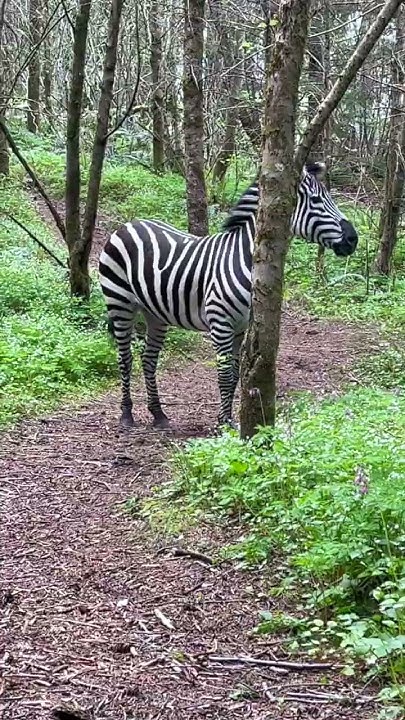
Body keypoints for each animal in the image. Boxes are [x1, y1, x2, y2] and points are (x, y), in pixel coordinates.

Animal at [99, 162, 358, 429]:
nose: (353, 239)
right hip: (119, 303)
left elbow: (235, 373)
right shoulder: (220, 322)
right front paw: (223, 424)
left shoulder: (241, 326)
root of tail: (128, 224)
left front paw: (228, 420)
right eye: (316, 200)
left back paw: (158, 413)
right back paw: (127, 414)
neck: (244, 258)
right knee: (125, 357)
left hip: (155, 313)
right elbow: (224, 374)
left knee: (148, 359)